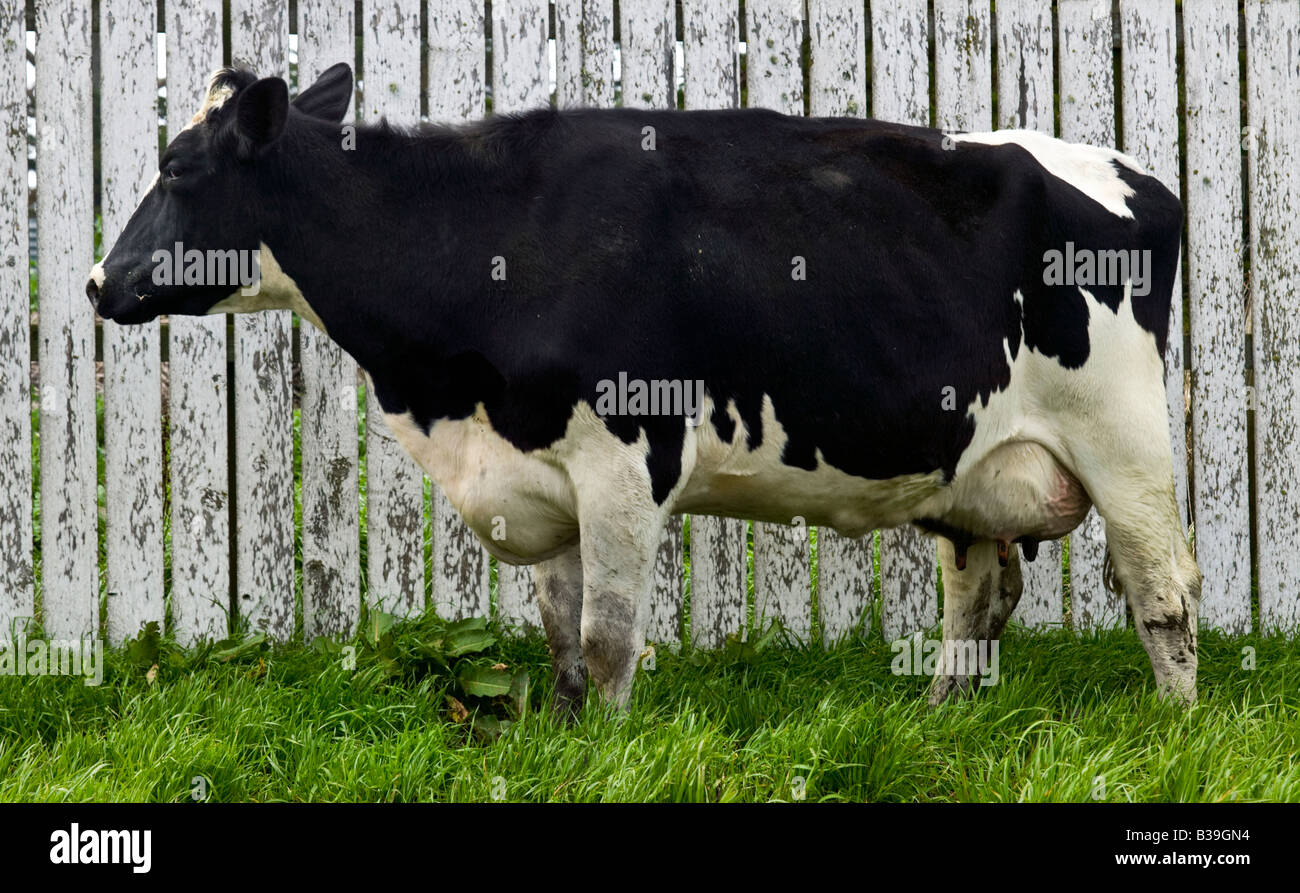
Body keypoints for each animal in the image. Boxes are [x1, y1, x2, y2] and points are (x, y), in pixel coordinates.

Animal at [87, 63, 1200, 715]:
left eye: (176, 166)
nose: (99, 282)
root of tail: (1130, 170)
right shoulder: (537, 471)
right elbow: (558, 636)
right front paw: (563, 734)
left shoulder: (625, 453)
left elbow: (608, 634)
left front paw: (609, 747)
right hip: (969, 460)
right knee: (978, 589)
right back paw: (938, 717)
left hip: (1125, 437)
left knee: (1163, 588)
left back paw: (1174, 724)